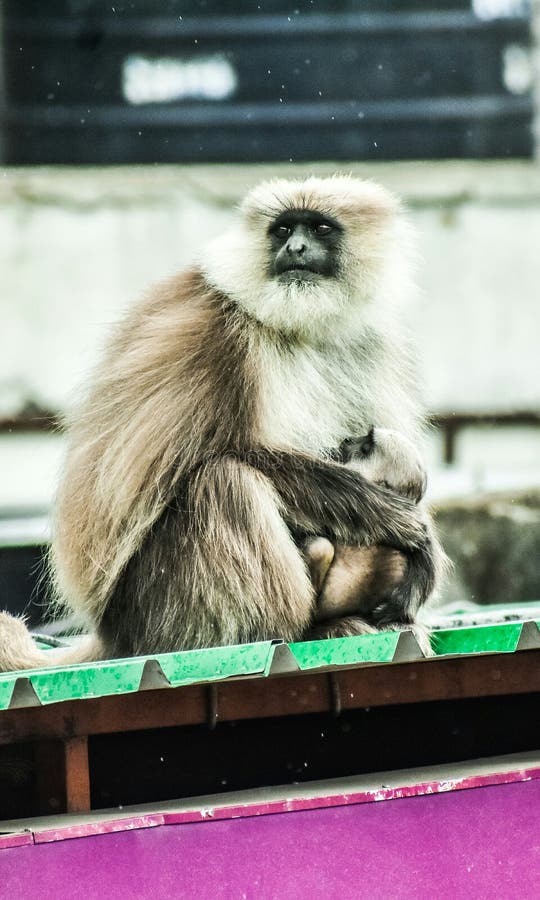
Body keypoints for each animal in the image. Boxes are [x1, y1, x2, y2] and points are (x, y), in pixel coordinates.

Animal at [0, 175, 445, 671]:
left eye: (319, 228)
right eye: (283, 229)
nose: (295, 247)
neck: (296, 326)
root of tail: (113, 635)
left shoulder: (371, 343)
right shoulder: (216, 332)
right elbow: (233, 453)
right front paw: (401, 521)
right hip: (159, 608)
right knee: (224, 479)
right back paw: (295, 631)